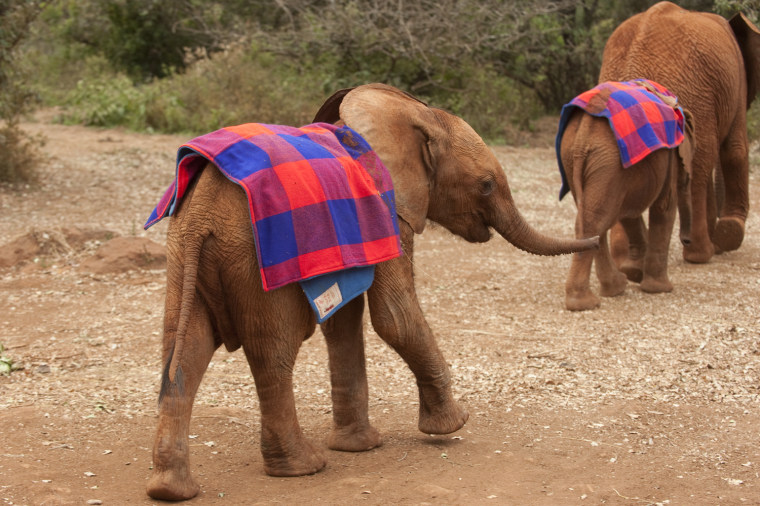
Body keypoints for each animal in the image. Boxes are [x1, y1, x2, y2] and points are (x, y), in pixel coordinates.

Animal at [144, 83, 599, 501]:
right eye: (486, 185)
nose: (595, 240)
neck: (417, 114)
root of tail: (203, 215)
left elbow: (344, 322)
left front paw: (360, 447)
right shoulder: (392, 209)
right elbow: (393, 315)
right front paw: (454, 424)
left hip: (184, 253)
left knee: (182, 352)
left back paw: (171, 490)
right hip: (254, 259)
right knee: (272, 352)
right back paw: (302, 467)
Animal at [558, 82, 696, 311]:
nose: (687, 240)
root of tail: (586, 127)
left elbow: (628, 212)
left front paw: (637, 276)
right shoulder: (669, 158)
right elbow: (664, 207)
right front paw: (659, 289)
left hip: (580, 157)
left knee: (592, 218)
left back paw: (612, 289)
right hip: (607, 161)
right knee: (596, 220)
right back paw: (586, 302)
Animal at [599, 1, 760, 264]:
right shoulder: (736, 86)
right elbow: (734, 150)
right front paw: (728, 235)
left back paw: (628, 261)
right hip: (693, 96)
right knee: (700, 162)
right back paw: (700, 255)